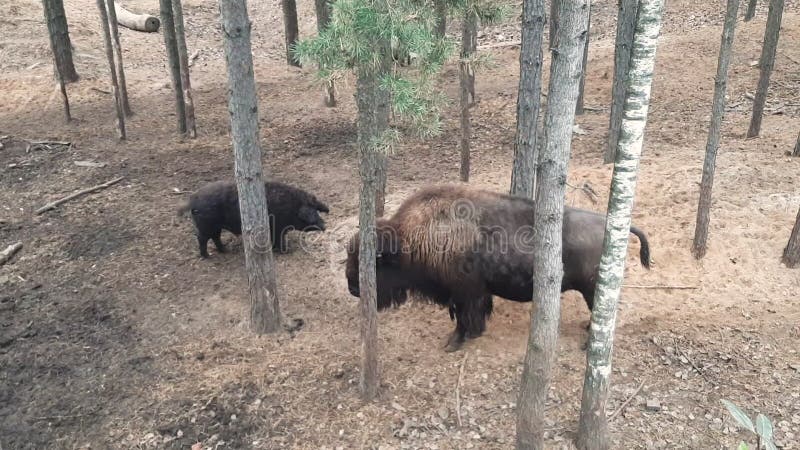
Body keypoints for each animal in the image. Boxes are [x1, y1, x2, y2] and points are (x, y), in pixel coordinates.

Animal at [345, 184, 651, 352]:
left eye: (375, 262)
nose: (352, 287)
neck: (411, 238)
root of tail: (610, 224)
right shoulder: (471, 293)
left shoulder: (464, 292)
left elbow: (463, 318)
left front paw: (455, 342)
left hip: (593, 287)